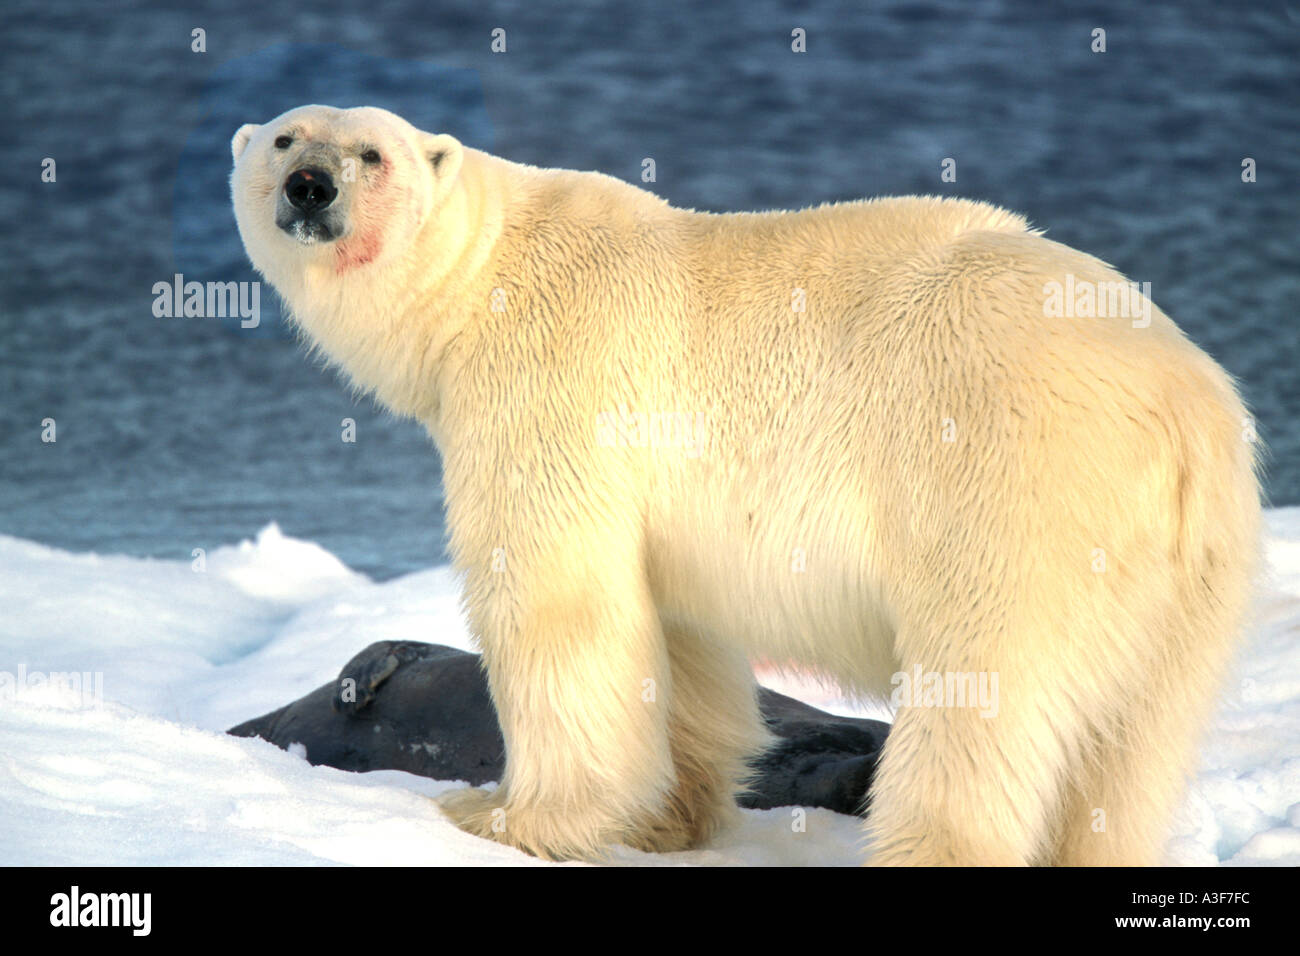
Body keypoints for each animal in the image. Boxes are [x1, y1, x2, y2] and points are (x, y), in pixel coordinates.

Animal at [231, 104, 1261, 865]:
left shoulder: (553, 382)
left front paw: (501, 817)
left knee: (982, 697)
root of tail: (1184, 411)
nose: (311, 185)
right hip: (1191, 576)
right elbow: (677, 630)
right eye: (284, 139)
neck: (484, 279)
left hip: (1009, 490)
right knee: (1132, 746)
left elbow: (556, 600)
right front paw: (666, 820)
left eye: (371, 152)